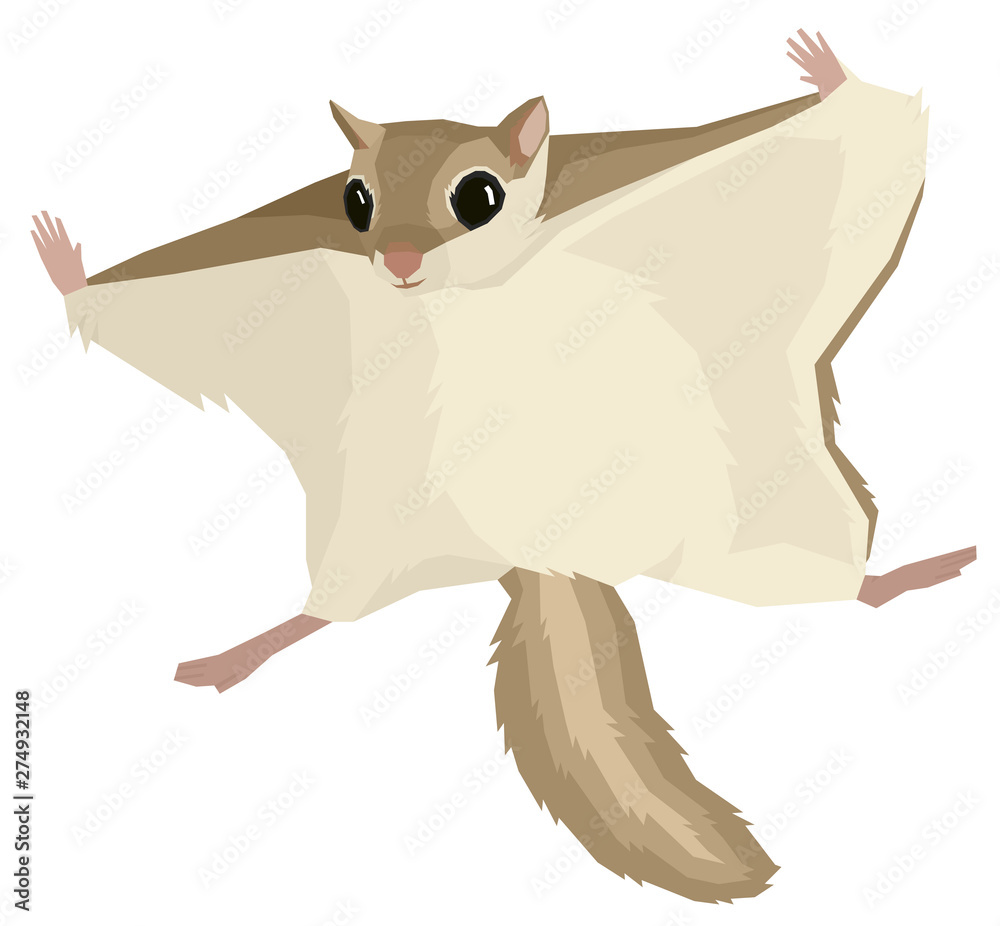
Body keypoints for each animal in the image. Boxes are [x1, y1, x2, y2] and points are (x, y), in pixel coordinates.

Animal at [32, 30, 975, 902]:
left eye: (477, 195)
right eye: (356, 200)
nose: (397, 261)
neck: (469, 295)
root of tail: (552, 554)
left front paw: (830, 75)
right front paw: (66, 269)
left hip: (762, 519)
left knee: (847, 587)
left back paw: (912, 571)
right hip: (369, 544)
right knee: (317, 619)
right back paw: (235, 655)